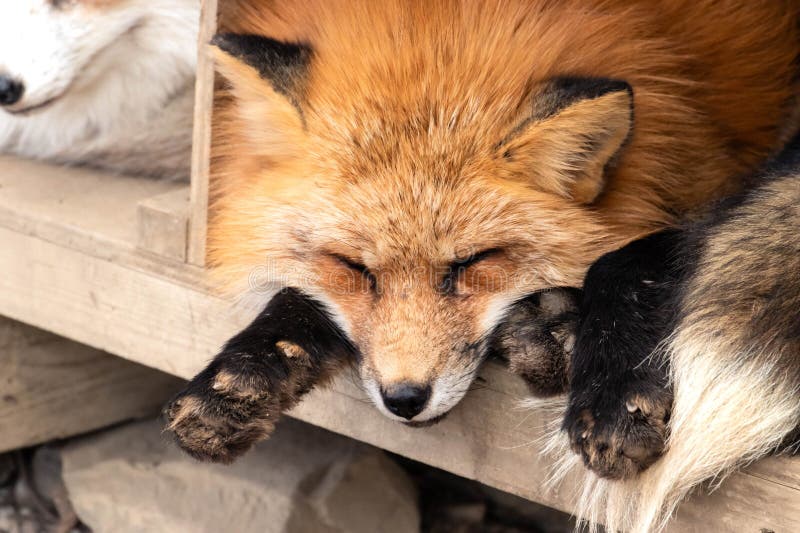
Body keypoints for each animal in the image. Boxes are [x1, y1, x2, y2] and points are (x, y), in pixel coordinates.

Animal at [165, 0, 800, 463]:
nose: (404, 400)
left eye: (473, 263)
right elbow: (298, 300)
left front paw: (608, 386)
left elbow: (626, 262)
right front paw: (239, 375)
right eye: (352, 267)